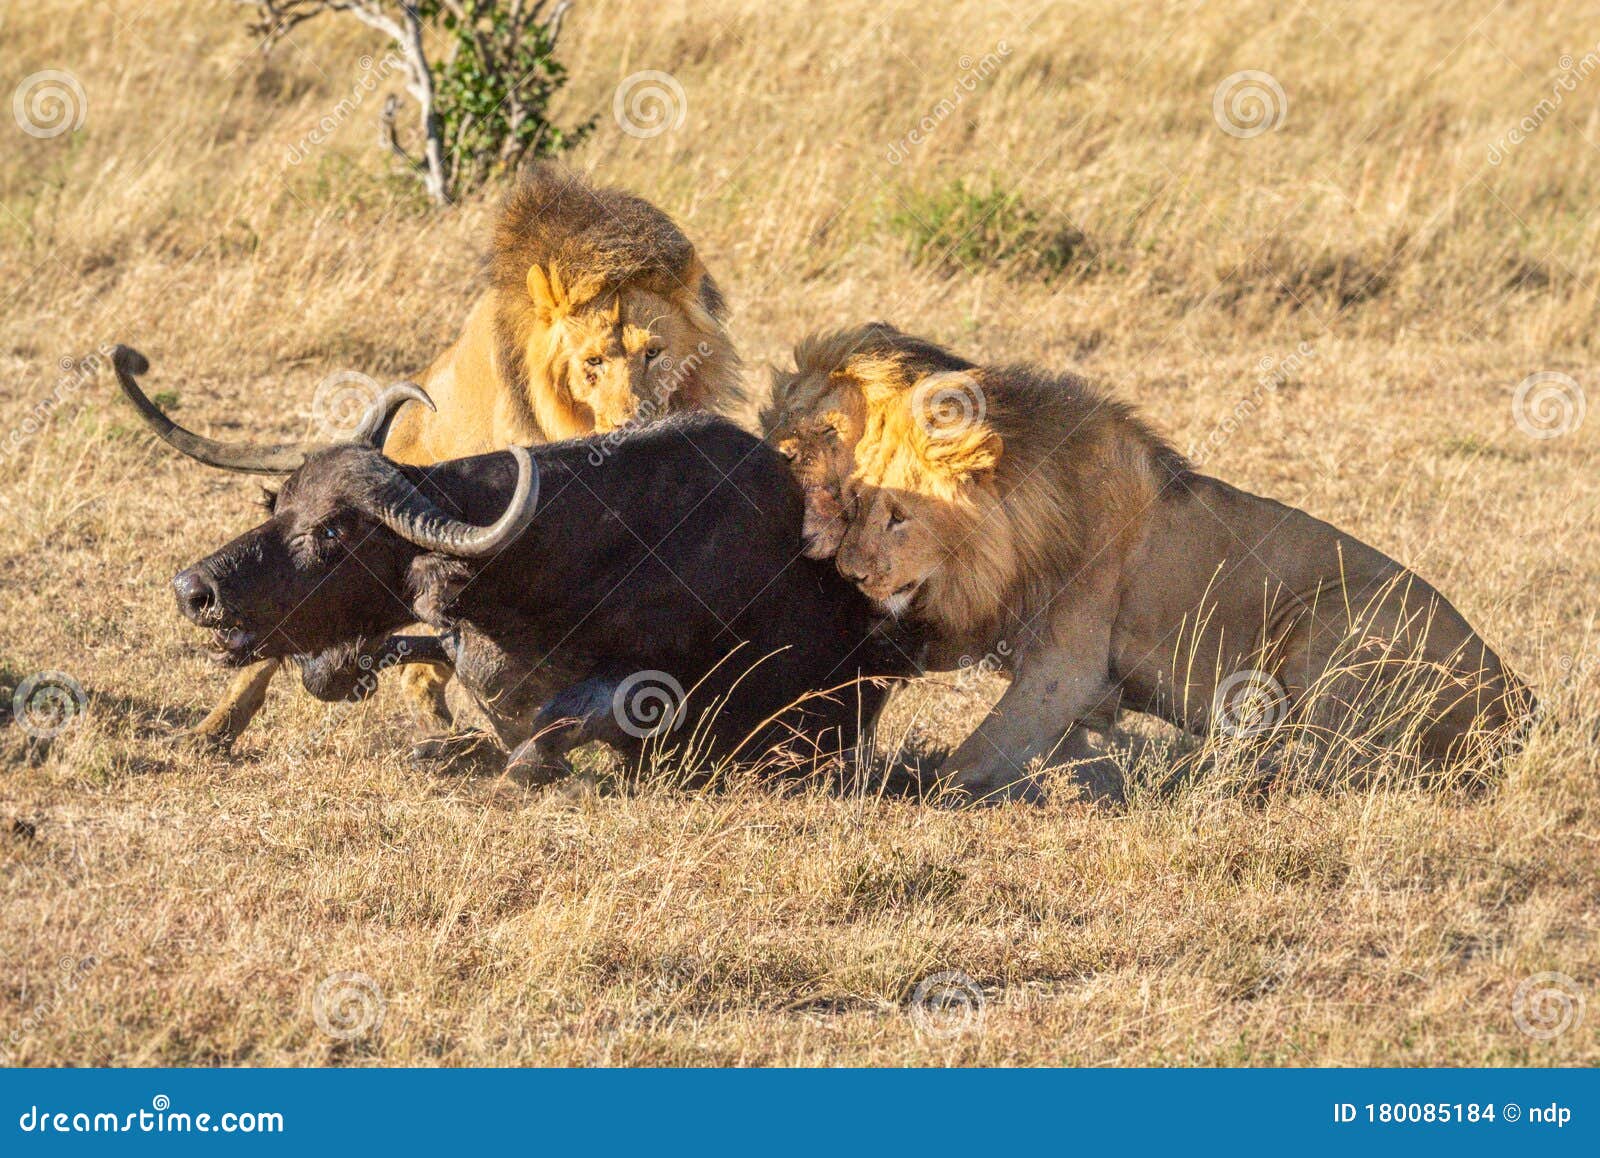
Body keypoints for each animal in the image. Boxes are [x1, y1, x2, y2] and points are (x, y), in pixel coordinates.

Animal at [831, 353, 1536, 802]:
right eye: (858, 504)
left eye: (900, 517)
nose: (848, 570)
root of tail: (1523, 702)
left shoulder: (1066, 668)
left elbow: (968, 759)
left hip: (1326, 618)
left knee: (1340, 764)